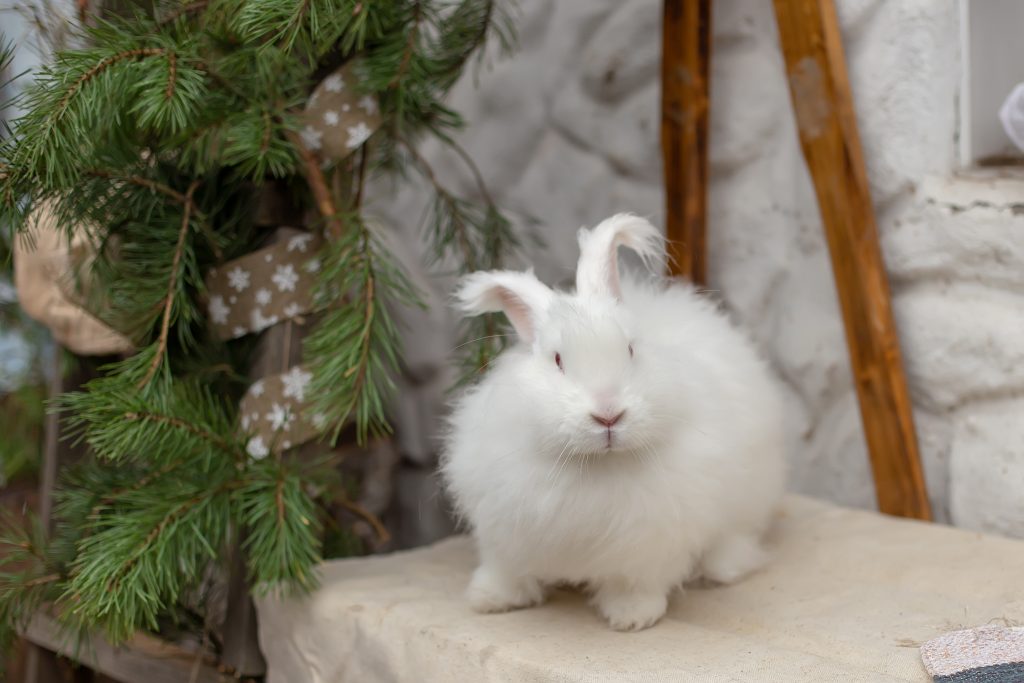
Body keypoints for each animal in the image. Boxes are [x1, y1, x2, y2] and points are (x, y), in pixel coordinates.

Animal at [441, 214, 785, 632]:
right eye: (558, 360)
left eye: (631, 350)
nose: (608, 415)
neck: (595, 464)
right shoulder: (503, 529)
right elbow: (507, 568)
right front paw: (489, 599)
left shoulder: (649, 542)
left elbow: (634, 580)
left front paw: (632, 617)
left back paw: (722, 570)